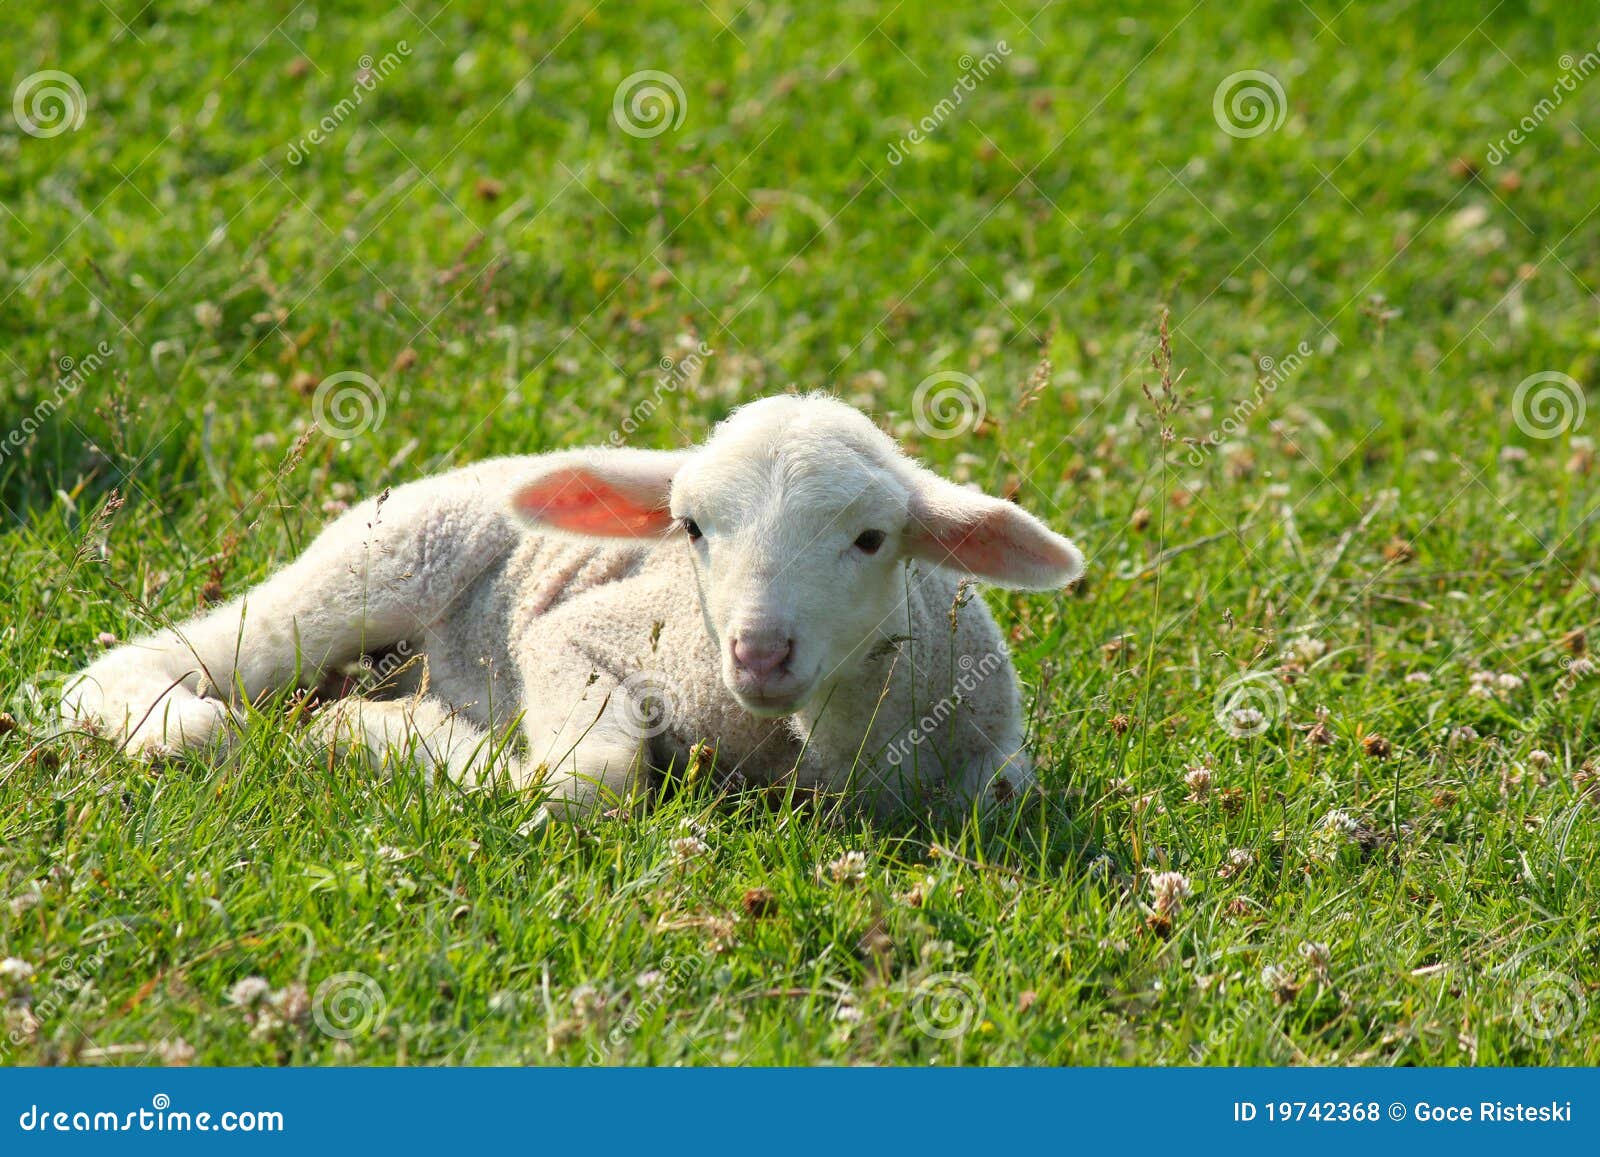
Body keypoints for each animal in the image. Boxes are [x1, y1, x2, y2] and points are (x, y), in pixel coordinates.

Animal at [61, 393, 1084, 818]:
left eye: (872, 539)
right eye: (692, 528)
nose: (757, 654)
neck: (814, 738)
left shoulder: (991, 761)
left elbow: (999, 789)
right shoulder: (579, 636)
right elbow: (585, 780)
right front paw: (408, 740)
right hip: (382, 559)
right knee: (183, 656)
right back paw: (184, 723)